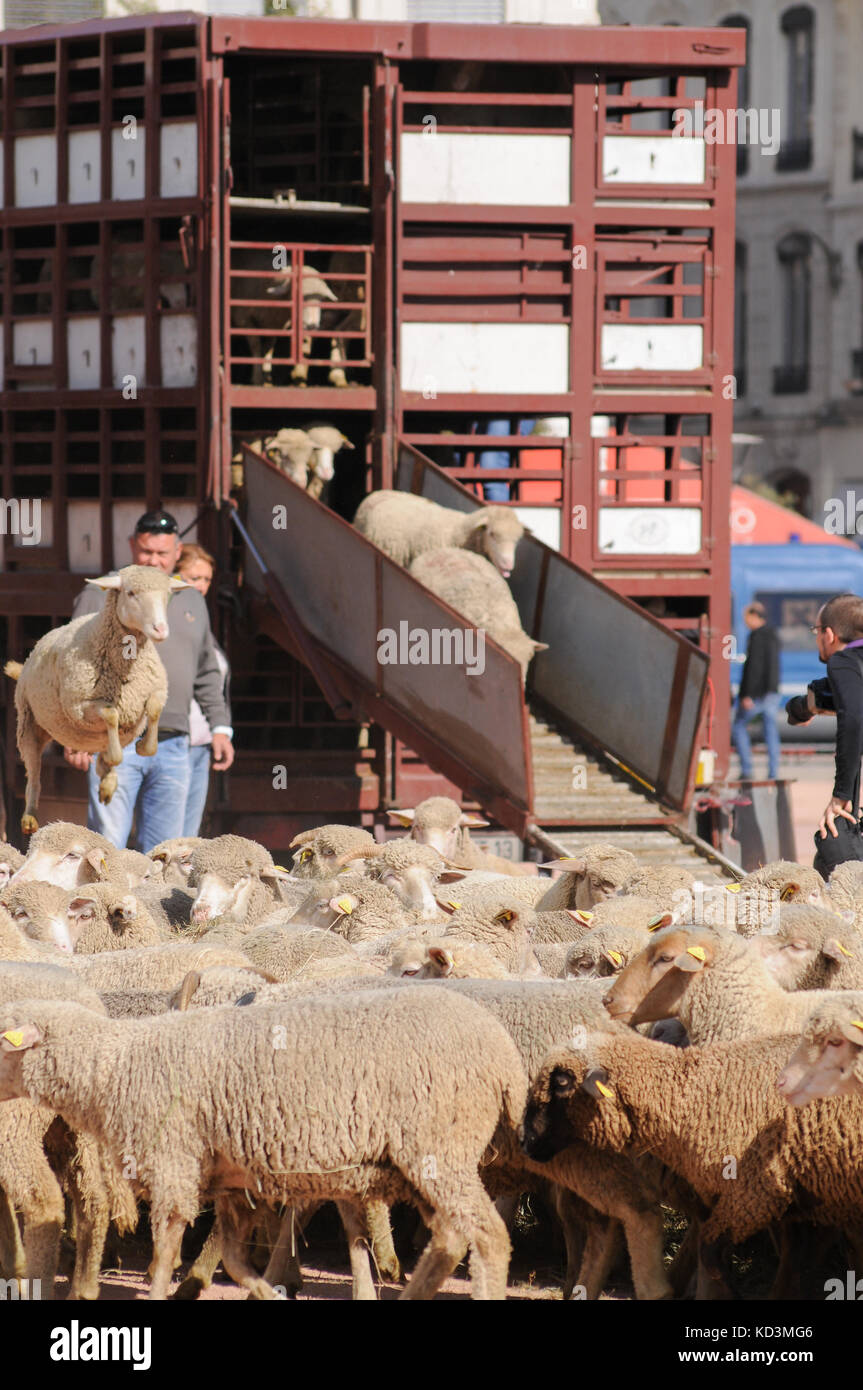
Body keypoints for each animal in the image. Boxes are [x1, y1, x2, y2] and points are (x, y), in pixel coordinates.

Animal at [0, 990, 528, 1300]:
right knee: (451, 1238)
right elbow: (233, 1260)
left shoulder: (174, 1162)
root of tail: (507, 1057)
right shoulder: (232, 1183)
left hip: (439, 1148)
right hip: (425, 1163)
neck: (114, 1066)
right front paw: (267, 1291)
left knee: (489, 1236)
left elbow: (165, 1252)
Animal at [5, 566, 185, 831]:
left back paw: (108, 782)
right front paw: (116, 754)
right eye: (131, 593)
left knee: (99, 756)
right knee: (33, 771)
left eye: (168, 594)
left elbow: (153, 710)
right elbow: (111, 715)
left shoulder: (156, 689)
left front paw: (143, 746)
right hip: (28, 724)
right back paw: (29, 817)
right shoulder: (81, 707)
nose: (160, 629)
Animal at [521, 1027, 863, 1291]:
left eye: (561, 1082)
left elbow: (713, 1257)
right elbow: (788, 1260)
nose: (525, 1142)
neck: (696, 1095)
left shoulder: (756, 1191)